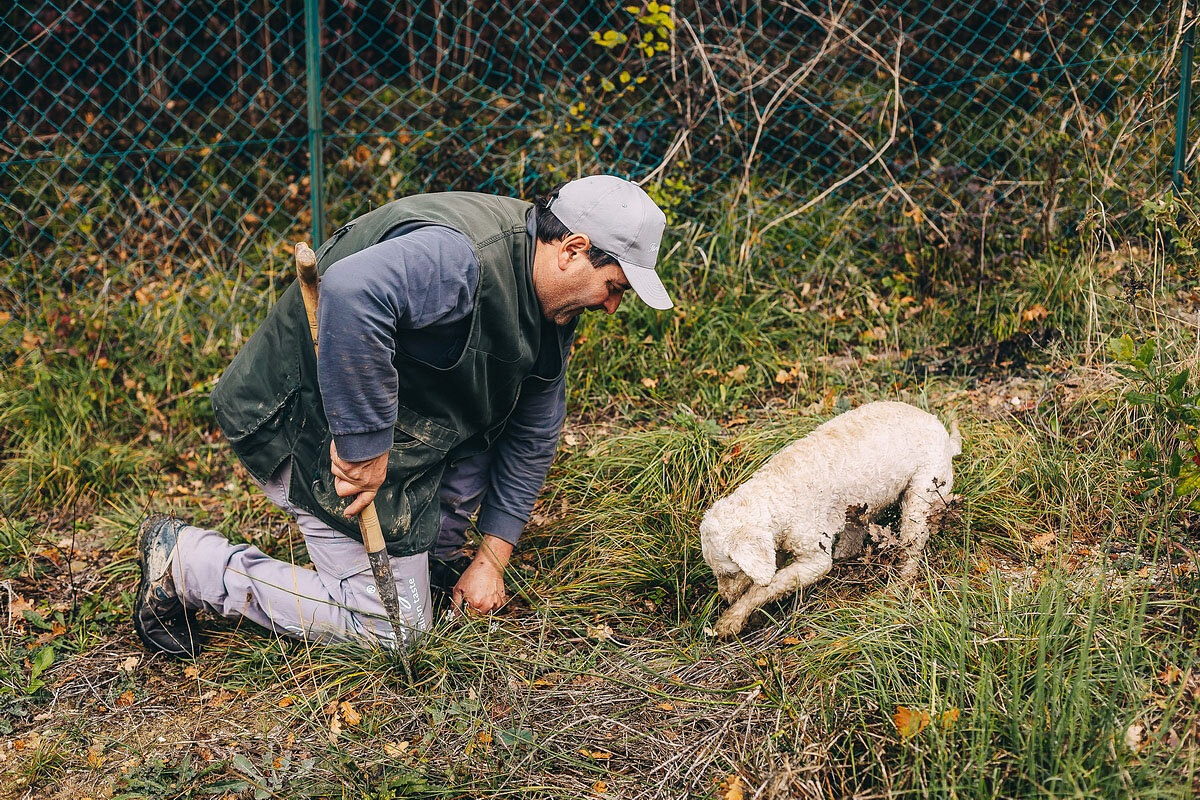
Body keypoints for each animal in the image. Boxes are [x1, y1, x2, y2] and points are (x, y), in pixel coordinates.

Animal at [700, 400, 960, 638]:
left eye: (730, 573)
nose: (725, 597)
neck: (774, 496)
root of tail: (945, 434)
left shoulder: (814, 561)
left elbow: (766, 587)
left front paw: (732, 618)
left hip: (922, 492)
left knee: (912, 545)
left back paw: (898, 586)